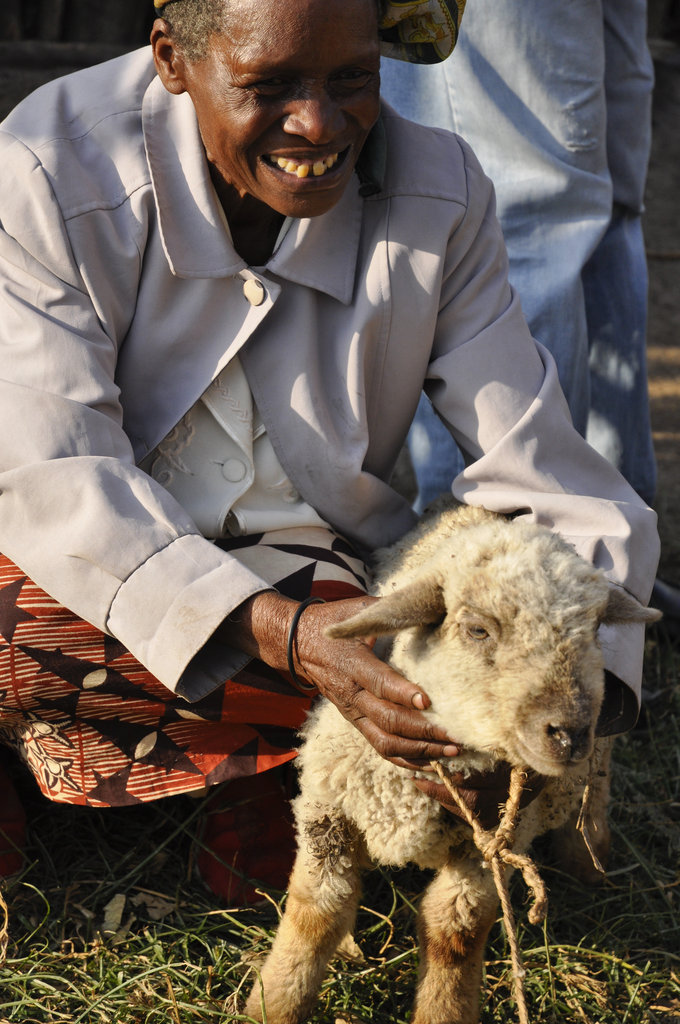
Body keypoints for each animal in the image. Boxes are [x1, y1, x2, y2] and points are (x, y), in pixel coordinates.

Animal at [244, 501, 659, 1024]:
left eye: (595, 630)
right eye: (477, 629)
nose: (568, 735)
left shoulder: (487, 847)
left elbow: (454, 935)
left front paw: (443, 1009)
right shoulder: (328, 815)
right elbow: (315, 912)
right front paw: (272, 1004)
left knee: (597, 787)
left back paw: (590, 858)